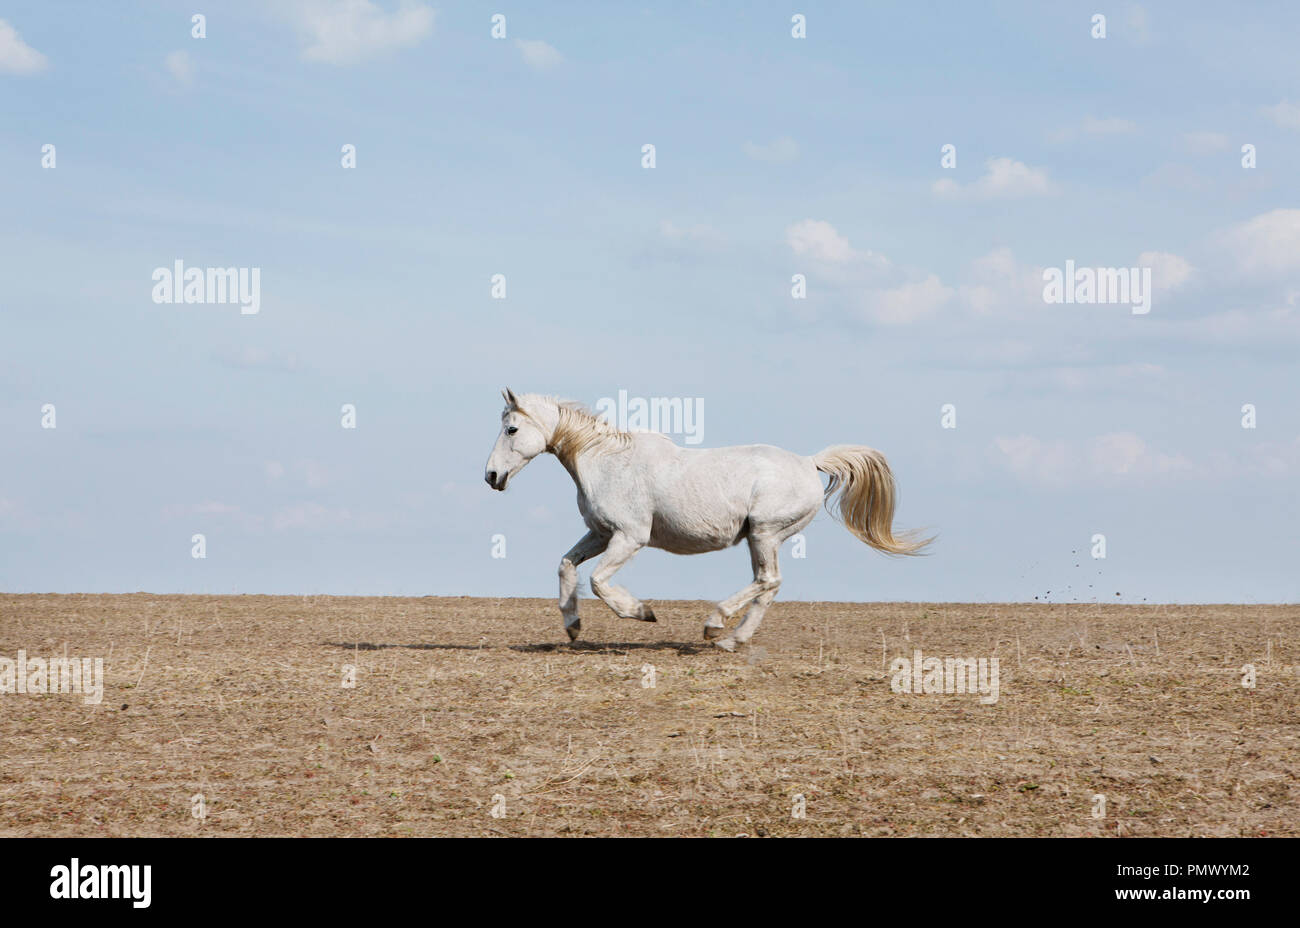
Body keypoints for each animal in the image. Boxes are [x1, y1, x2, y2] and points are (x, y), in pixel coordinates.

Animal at [483, 389, 931, 650]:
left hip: (765, 533)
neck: (607, 461)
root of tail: (809, 462)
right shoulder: (599, 535)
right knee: (767, 586)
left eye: (511, 429)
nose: (491, 476)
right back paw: (732, 640)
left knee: (768, 581)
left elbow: (597, 581)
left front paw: (642, 612)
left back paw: (714, 626)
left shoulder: (629, 538)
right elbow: (566, 566)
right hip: (760, 538)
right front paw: (573, 626)